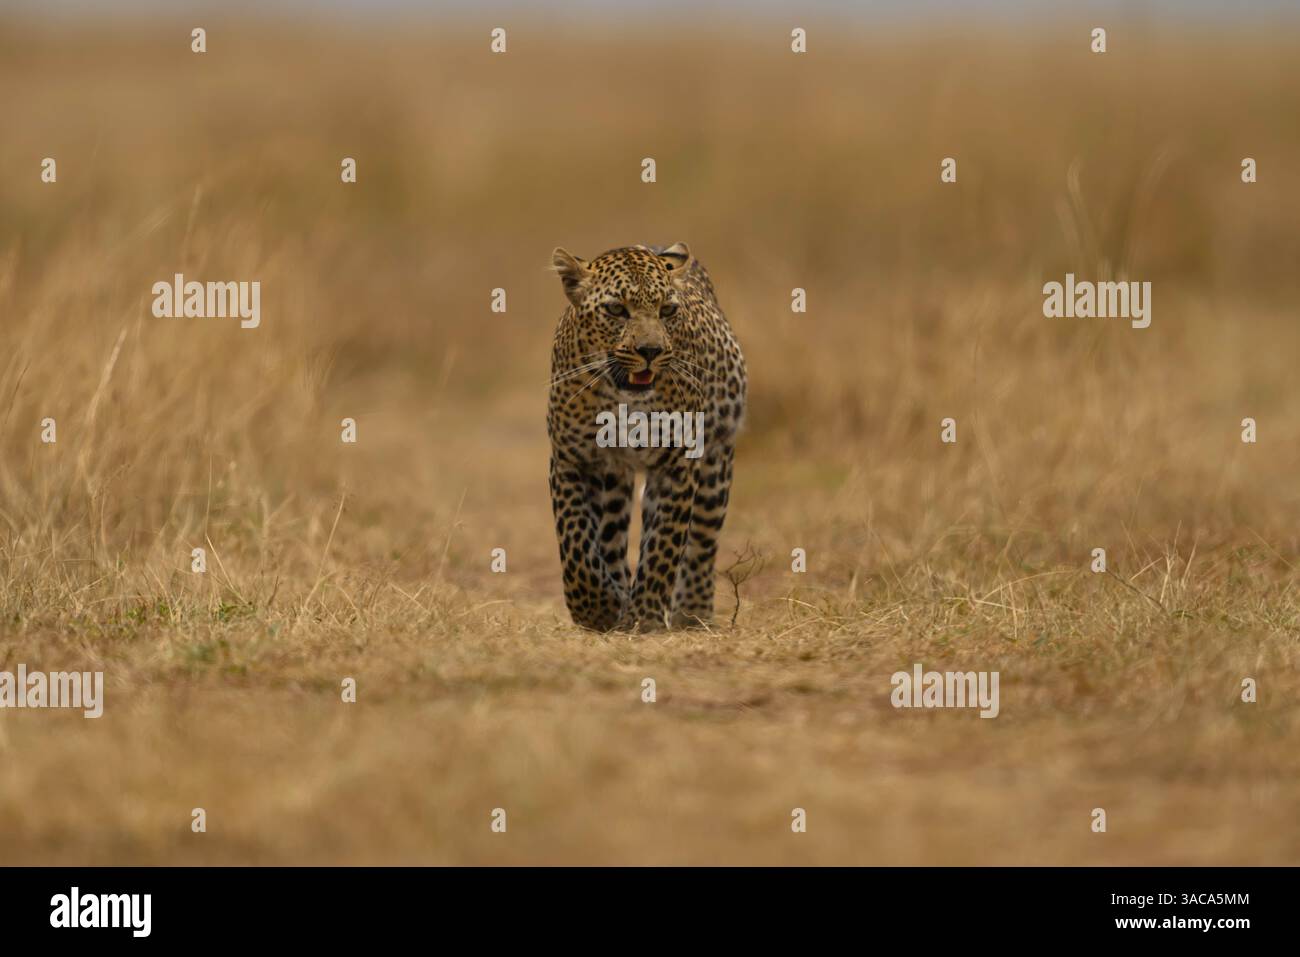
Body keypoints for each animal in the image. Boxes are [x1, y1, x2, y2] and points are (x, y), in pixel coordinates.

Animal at [547, 242, 747, 633]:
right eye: (615, 309)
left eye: (667, 310)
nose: (650, 351)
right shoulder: (570, 459)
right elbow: (576, 543)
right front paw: (598, 608)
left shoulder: (678, 462)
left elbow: (663, 545)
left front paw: (645, 616)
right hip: (613, 478)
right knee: (609, 538)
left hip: (716, 461)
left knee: (701, 541)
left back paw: (691, 612)